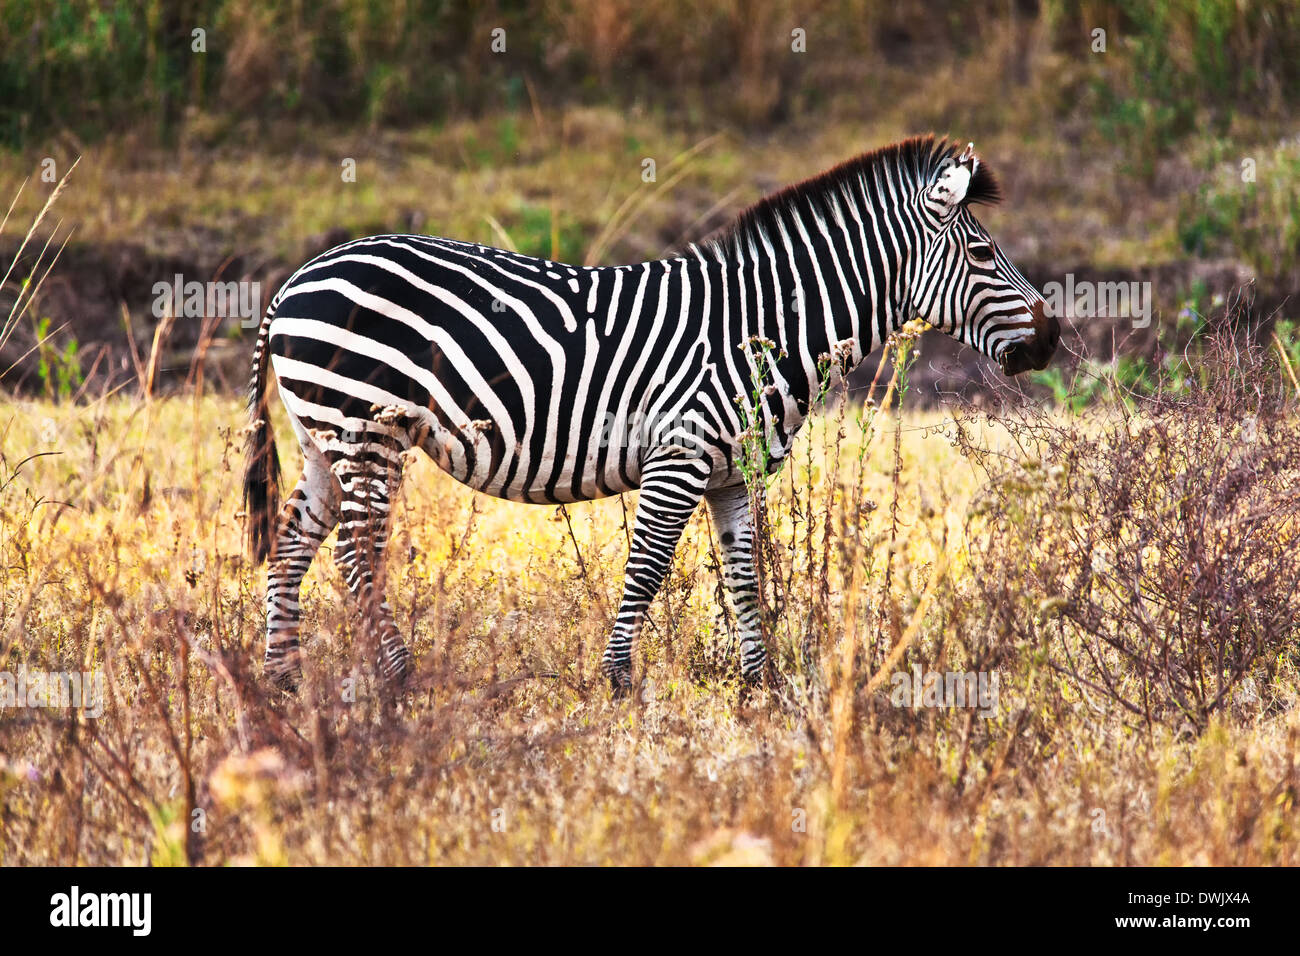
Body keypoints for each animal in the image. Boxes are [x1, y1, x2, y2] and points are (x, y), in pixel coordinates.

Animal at [242, 134, 1058, 695]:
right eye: (981, 254)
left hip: (322, 437)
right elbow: (647, 570)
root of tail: (292, 282)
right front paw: (618, 682)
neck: (765, 326)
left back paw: (282, 681)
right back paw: (399, 678)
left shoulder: (732, 472)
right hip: (363, 430)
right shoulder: (679, 456)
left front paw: (758, 687)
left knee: (293, 544)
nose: (1052, 339)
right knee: (356, 556)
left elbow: (744, 577)